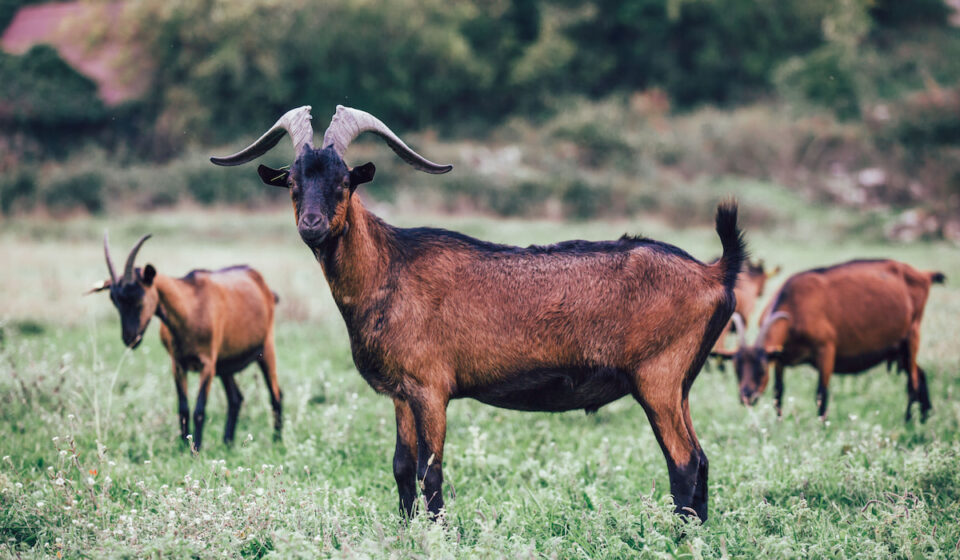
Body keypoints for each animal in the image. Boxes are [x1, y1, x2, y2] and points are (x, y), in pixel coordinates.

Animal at [89, 234, 283, 450]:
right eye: (114, 300)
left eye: (139, 296)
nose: (130, 338)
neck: (190, 307)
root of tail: (264, 285)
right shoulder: (178, 364)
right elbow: (183, 408)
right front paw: (183, 446)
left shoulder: (207, 364)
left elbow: (199, 409)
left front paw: (195, 449)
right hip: (225, 363)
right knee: (236, 398)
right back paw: (228, 442)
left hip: (266, 347)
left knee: (276, 394)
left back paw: (276, 441)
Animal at [210, 105, 745, 521]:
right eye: (293, 183)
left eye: (344, 182)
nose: (312, 225)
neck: (390, 266)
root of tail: (715, 272)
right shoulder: (402, 392)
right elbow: (401, 468)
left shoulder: (431, 388)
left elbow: (430, 472)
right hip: (680, 385)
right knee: (701, 460)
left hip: (658, 377)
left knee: (683, 462)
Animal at [712, 259, 944, 421]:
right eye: (736, 369)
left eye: (761, 368)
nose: (746, 397)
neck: (796, 306)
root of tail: (923, 274)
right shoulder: (780, 359)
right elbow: (778, 393)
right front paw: (778, 424)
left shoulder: (826, 350)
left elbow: (821, 394)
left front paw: (822, 428)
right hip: (898, 348)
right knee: (920, 374)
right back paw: (925, 417)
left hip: (912, 336)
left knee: (912, 381)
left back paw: (909, 422)